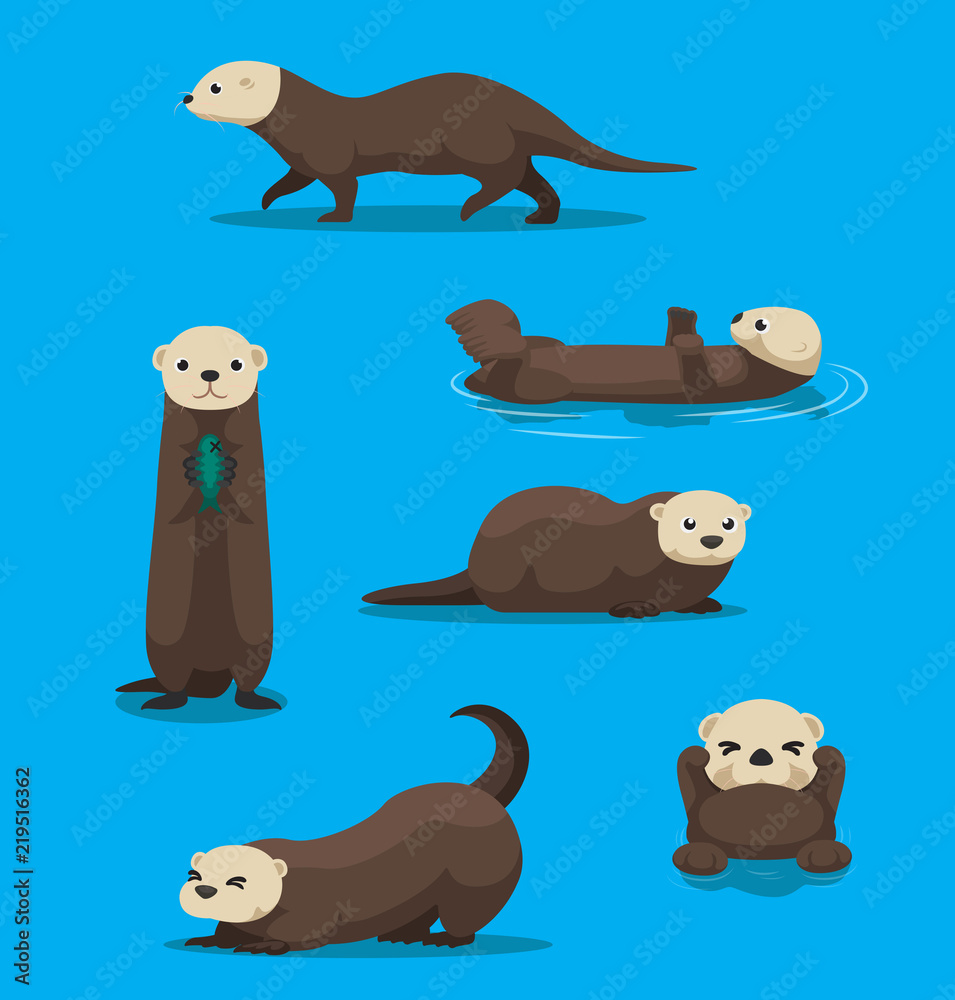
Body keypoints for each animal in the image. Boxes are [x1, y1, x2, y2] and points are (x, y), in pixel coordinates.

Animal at [116, 327, 278, 711]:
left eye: (236, 364)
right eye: (181, 363)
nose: (209, 374)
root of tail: (208, 679)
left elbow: (245, 499)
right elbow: (177, 499)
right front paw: (195, 471)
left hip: (255, 641)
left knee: (249, 673)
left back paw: (253, 699)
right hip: (165, 644)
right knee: (172, 675)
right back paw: (166, 699)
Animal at [180, 61, 694, 224]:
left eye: (215, 87)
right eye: (202, 81)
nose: (185, 96)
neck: (301, 119)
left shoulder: (330, 152)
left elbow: (345, 188)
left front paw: (335, 217)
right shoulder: (304, 160)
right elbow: (291, 181)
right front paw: (267, 200)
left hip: (478, 143)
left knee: (505, 175)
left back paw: (470, 210)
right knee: (532, 177)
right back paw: (538, 217)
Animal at [180, 706, 527, 953]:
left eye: (238, 881)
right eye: (194, 876)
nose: (204, 891)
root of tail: (476, 794)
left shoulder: (313, 904)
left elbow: (307, 929)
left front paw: (269, 943)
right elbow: (229, 928)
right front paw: (214, 938)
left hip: (479, 874)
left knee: (467, 915)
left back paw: (445, 938)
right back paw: (402, 934)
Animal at [364, 488, 751, 617]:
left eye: (729, 522)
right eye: (688, 523)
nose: (711, 540)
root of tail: (472, 564)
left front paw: (703, 604)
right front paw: (636, 608)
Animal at [448, 301, 822, 405]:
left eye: (762, 324)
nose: (737, 315)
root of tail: (475, 379)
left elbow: (698, 383)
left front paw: (690, 337)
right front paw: (681, 317)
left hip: (541, 386)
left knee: (514, 368)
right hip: (548, 350)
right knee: (538, 343)